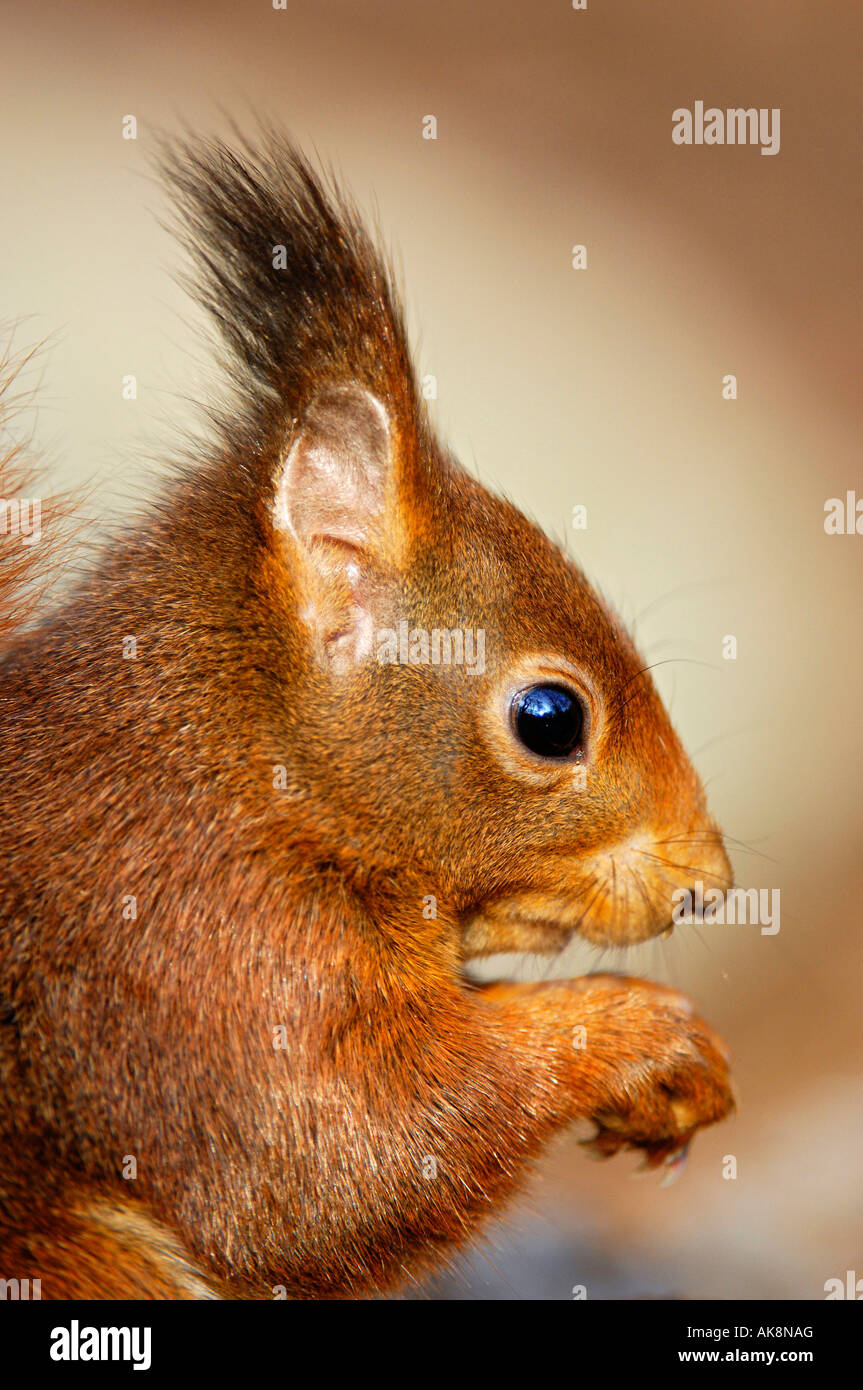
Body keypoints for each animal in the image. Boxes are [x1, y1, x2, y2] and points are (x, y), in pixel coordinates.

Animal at [0, 132, 734, 1300]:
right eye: (549, 718)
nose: (708, 883)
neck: (245, 772)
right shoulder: (200, 958)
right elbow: (339, 1164)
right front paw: (636, 1032)